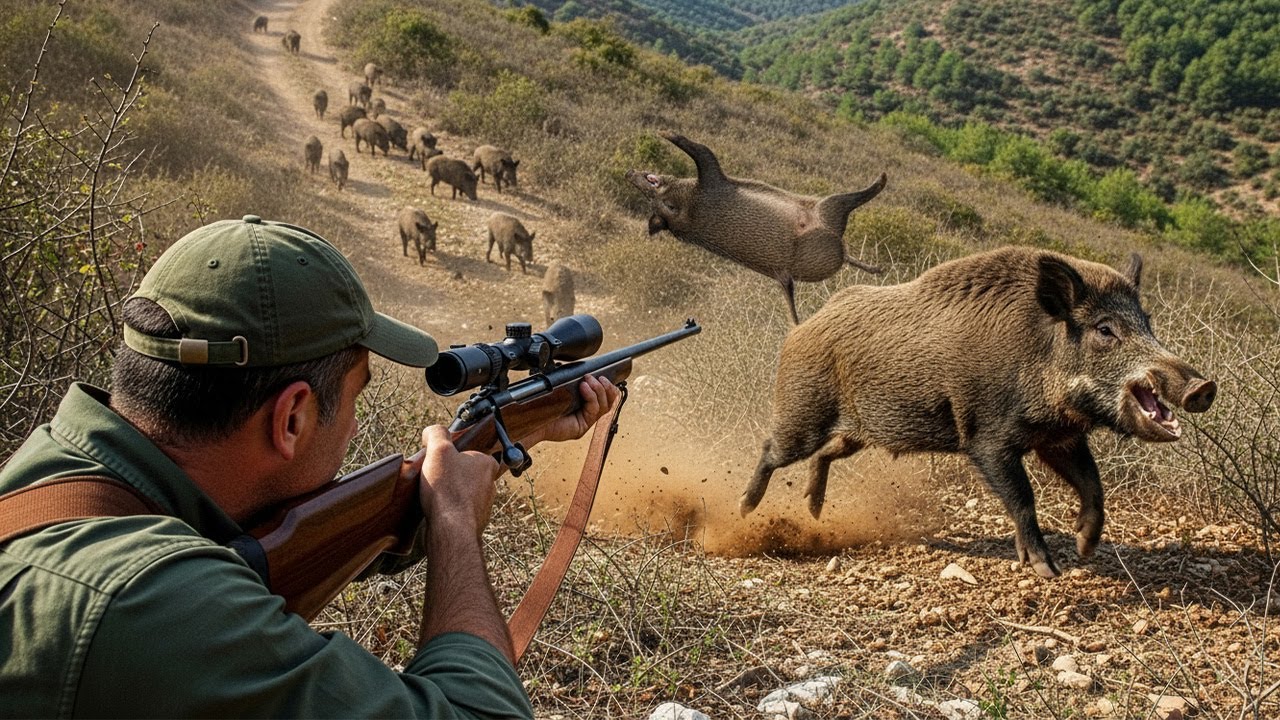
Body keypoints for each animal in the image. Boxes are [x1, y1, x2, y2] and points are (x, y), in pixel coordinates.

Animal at [739, 246, 1217, 578]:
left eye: (1147, 323)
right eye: (1105, 329)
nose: (1203, 387)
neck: (1039, 357)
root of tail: (801, 327)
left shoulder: (1058, 439)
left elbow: (1093, 485)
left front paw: (1084, 549)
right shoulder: (987, 439)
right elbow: (1023, 496)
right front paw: (1046, 569)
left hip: (861, 432)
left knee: (825, 455)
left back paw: (814, 510)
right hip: (803, 411)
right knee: (770, 449)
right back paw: (745, 509)